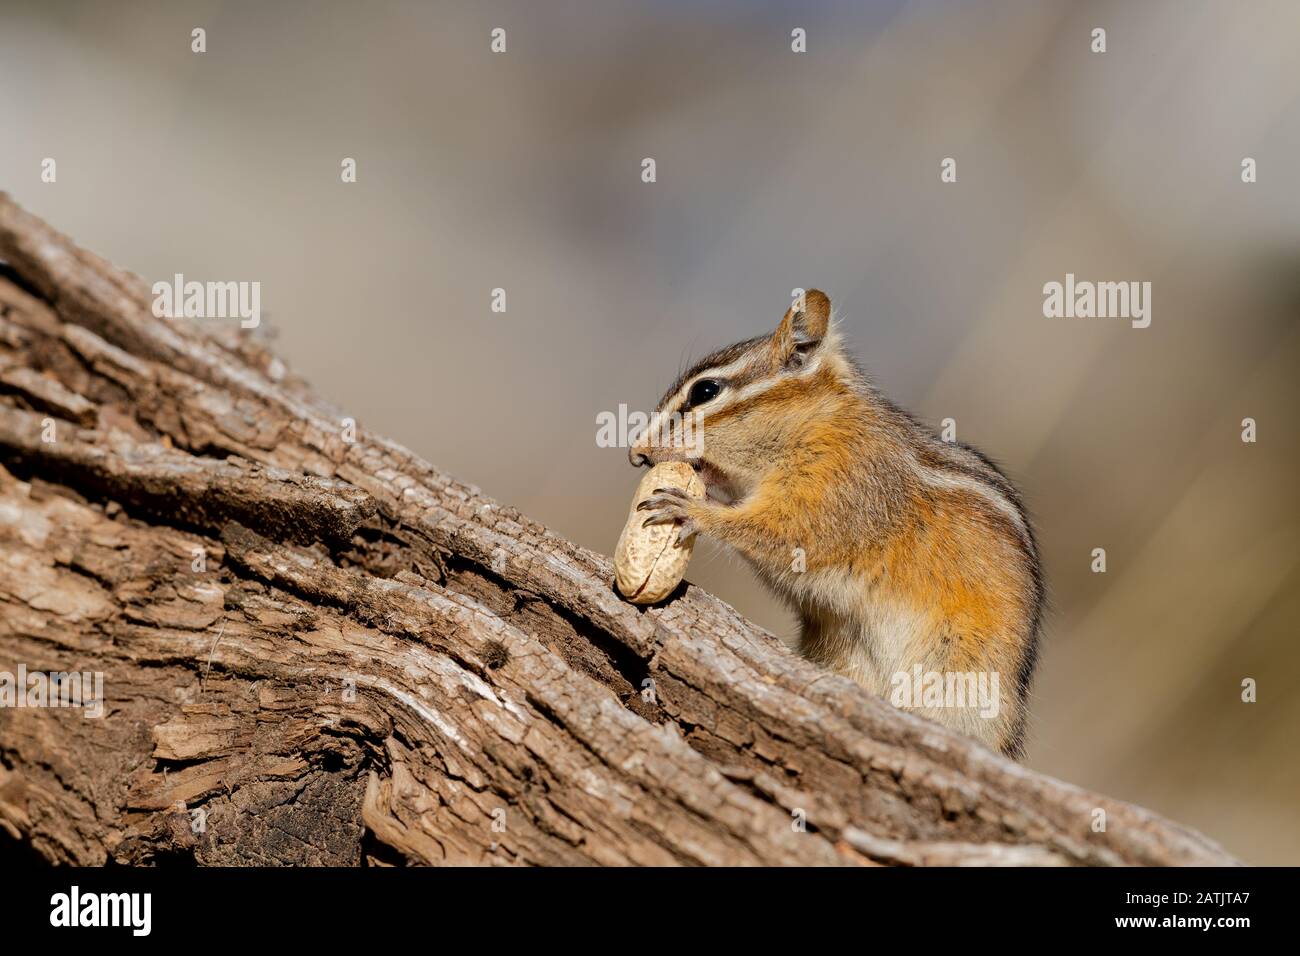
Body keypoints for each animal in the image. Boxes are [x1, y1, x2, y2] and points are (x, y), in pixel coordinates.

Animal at [628, 290, 1044, 758]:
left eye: (705, 391)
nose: (636, 453)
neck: (817, 421)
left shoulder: (842, 491)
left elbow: (784, 532)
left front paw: (692, 510)